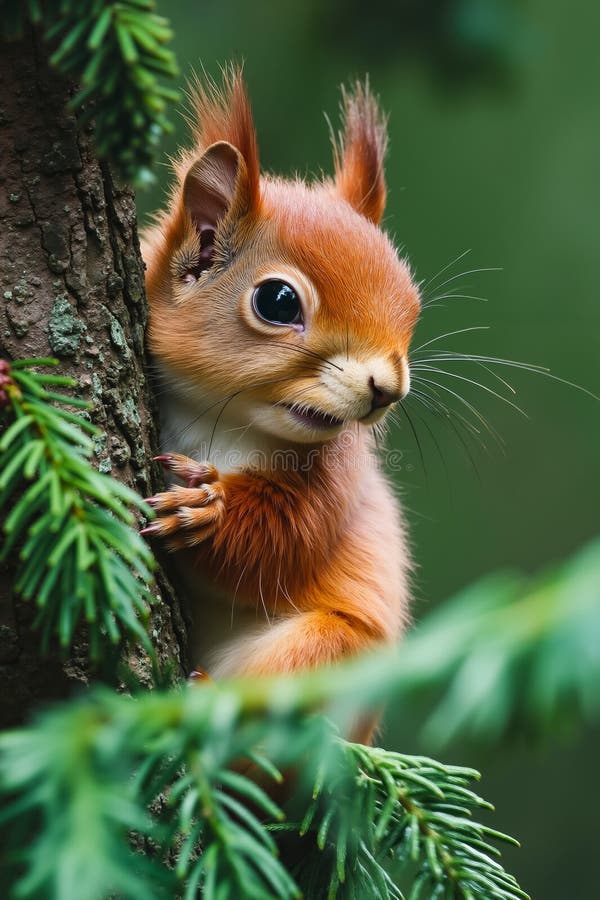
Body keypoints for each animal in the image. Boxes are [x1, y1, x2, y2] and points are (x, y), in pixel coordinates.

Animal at [141, 69, 420, 742]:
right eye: (277, 301)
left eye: (412, 305)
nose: (388, 387)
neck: (220, 415)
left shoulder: (336, 474)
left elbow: (286, 539)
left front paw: (206, 511)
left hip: (326, 659)